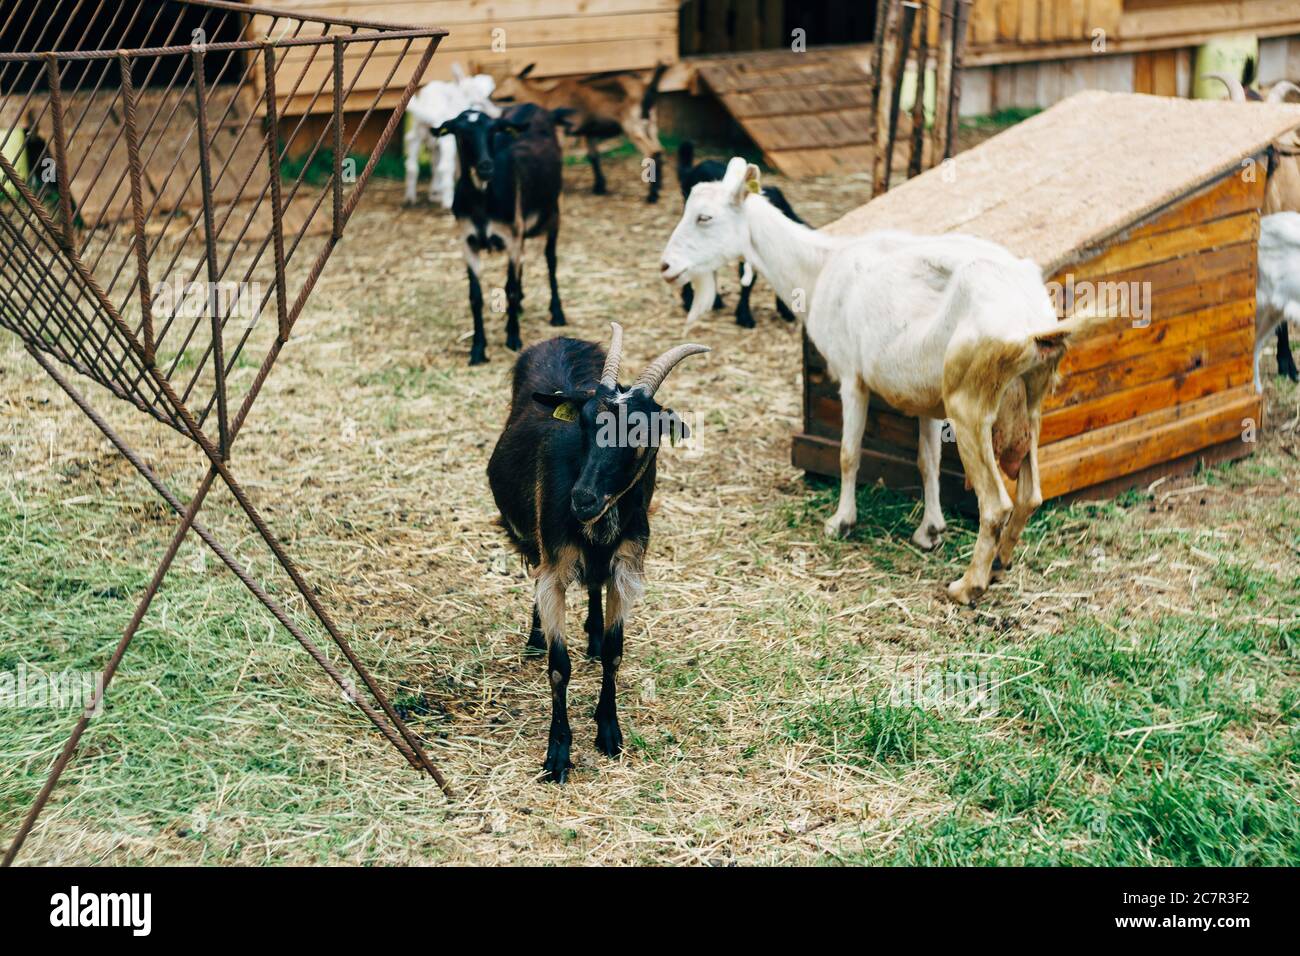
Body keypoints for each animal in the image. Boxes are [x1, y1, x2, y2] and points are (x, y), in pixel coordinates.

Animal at [404, 63, 500, 208]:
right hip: (447, 143)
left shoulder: (436, 147)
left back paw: (411, 198)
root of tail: (434, 111)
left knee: (413, 166)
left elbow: (434, 168)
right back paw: (448, 202)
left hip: (416, 137)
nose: (497, 113)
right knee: (445, 168)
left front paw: (434, 193)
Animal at [434, 104, 566, 365]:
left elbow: (511, 289)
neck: (483, 201)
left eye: (493, 130)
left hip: (553, 213)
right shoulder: (468, 243)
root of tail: (535, 107)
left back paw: (557, 313)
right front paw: (477, 349)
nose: (486, 166)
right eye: (461, 133)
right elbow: (475, 296)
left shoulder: (511, 238)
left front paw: (514, 339)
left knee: (551, 260)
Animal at [487, 323, 708, 782]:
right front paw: (557, 753)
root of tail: (560, 339)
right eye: (587, 424)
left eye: (641, 433)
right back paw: (536, 634)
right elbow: (559, 666)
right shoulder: (555, 567)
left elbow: (613, 652)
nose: (583, 499)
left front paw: (609, 731)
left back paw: (589, 631)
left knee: (593, 583)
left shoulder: (626, 566)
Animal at [490, 62, 668, 203]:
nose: (492, 96)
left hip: (632, 125)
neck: (545, 99)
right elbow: (593, 156)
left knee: (651, 151)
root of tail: (646, 88)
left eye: (504, 81)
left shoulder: (563, 132)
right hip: (651, 124)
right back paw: (659, 188)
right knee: (659, 149)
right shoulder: (590, 131)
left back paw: (651, 196)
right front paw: (599, 188)